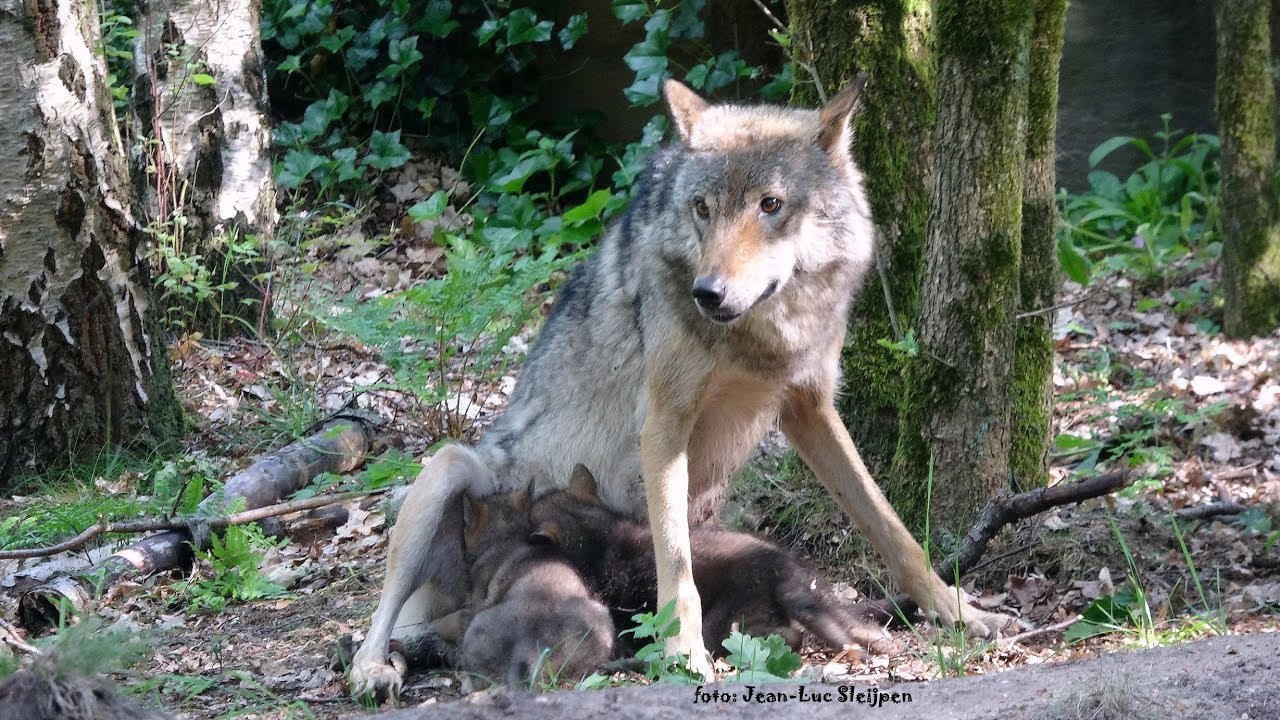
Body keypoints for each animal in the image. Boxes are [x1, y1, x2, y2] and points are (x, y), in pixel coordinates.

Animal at [531, 465, 899, 657]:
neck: (601, 532)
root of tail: (784, 571)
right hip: (818, 599)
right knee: (860, 626)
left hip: (719, 624)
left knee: (785, 637)